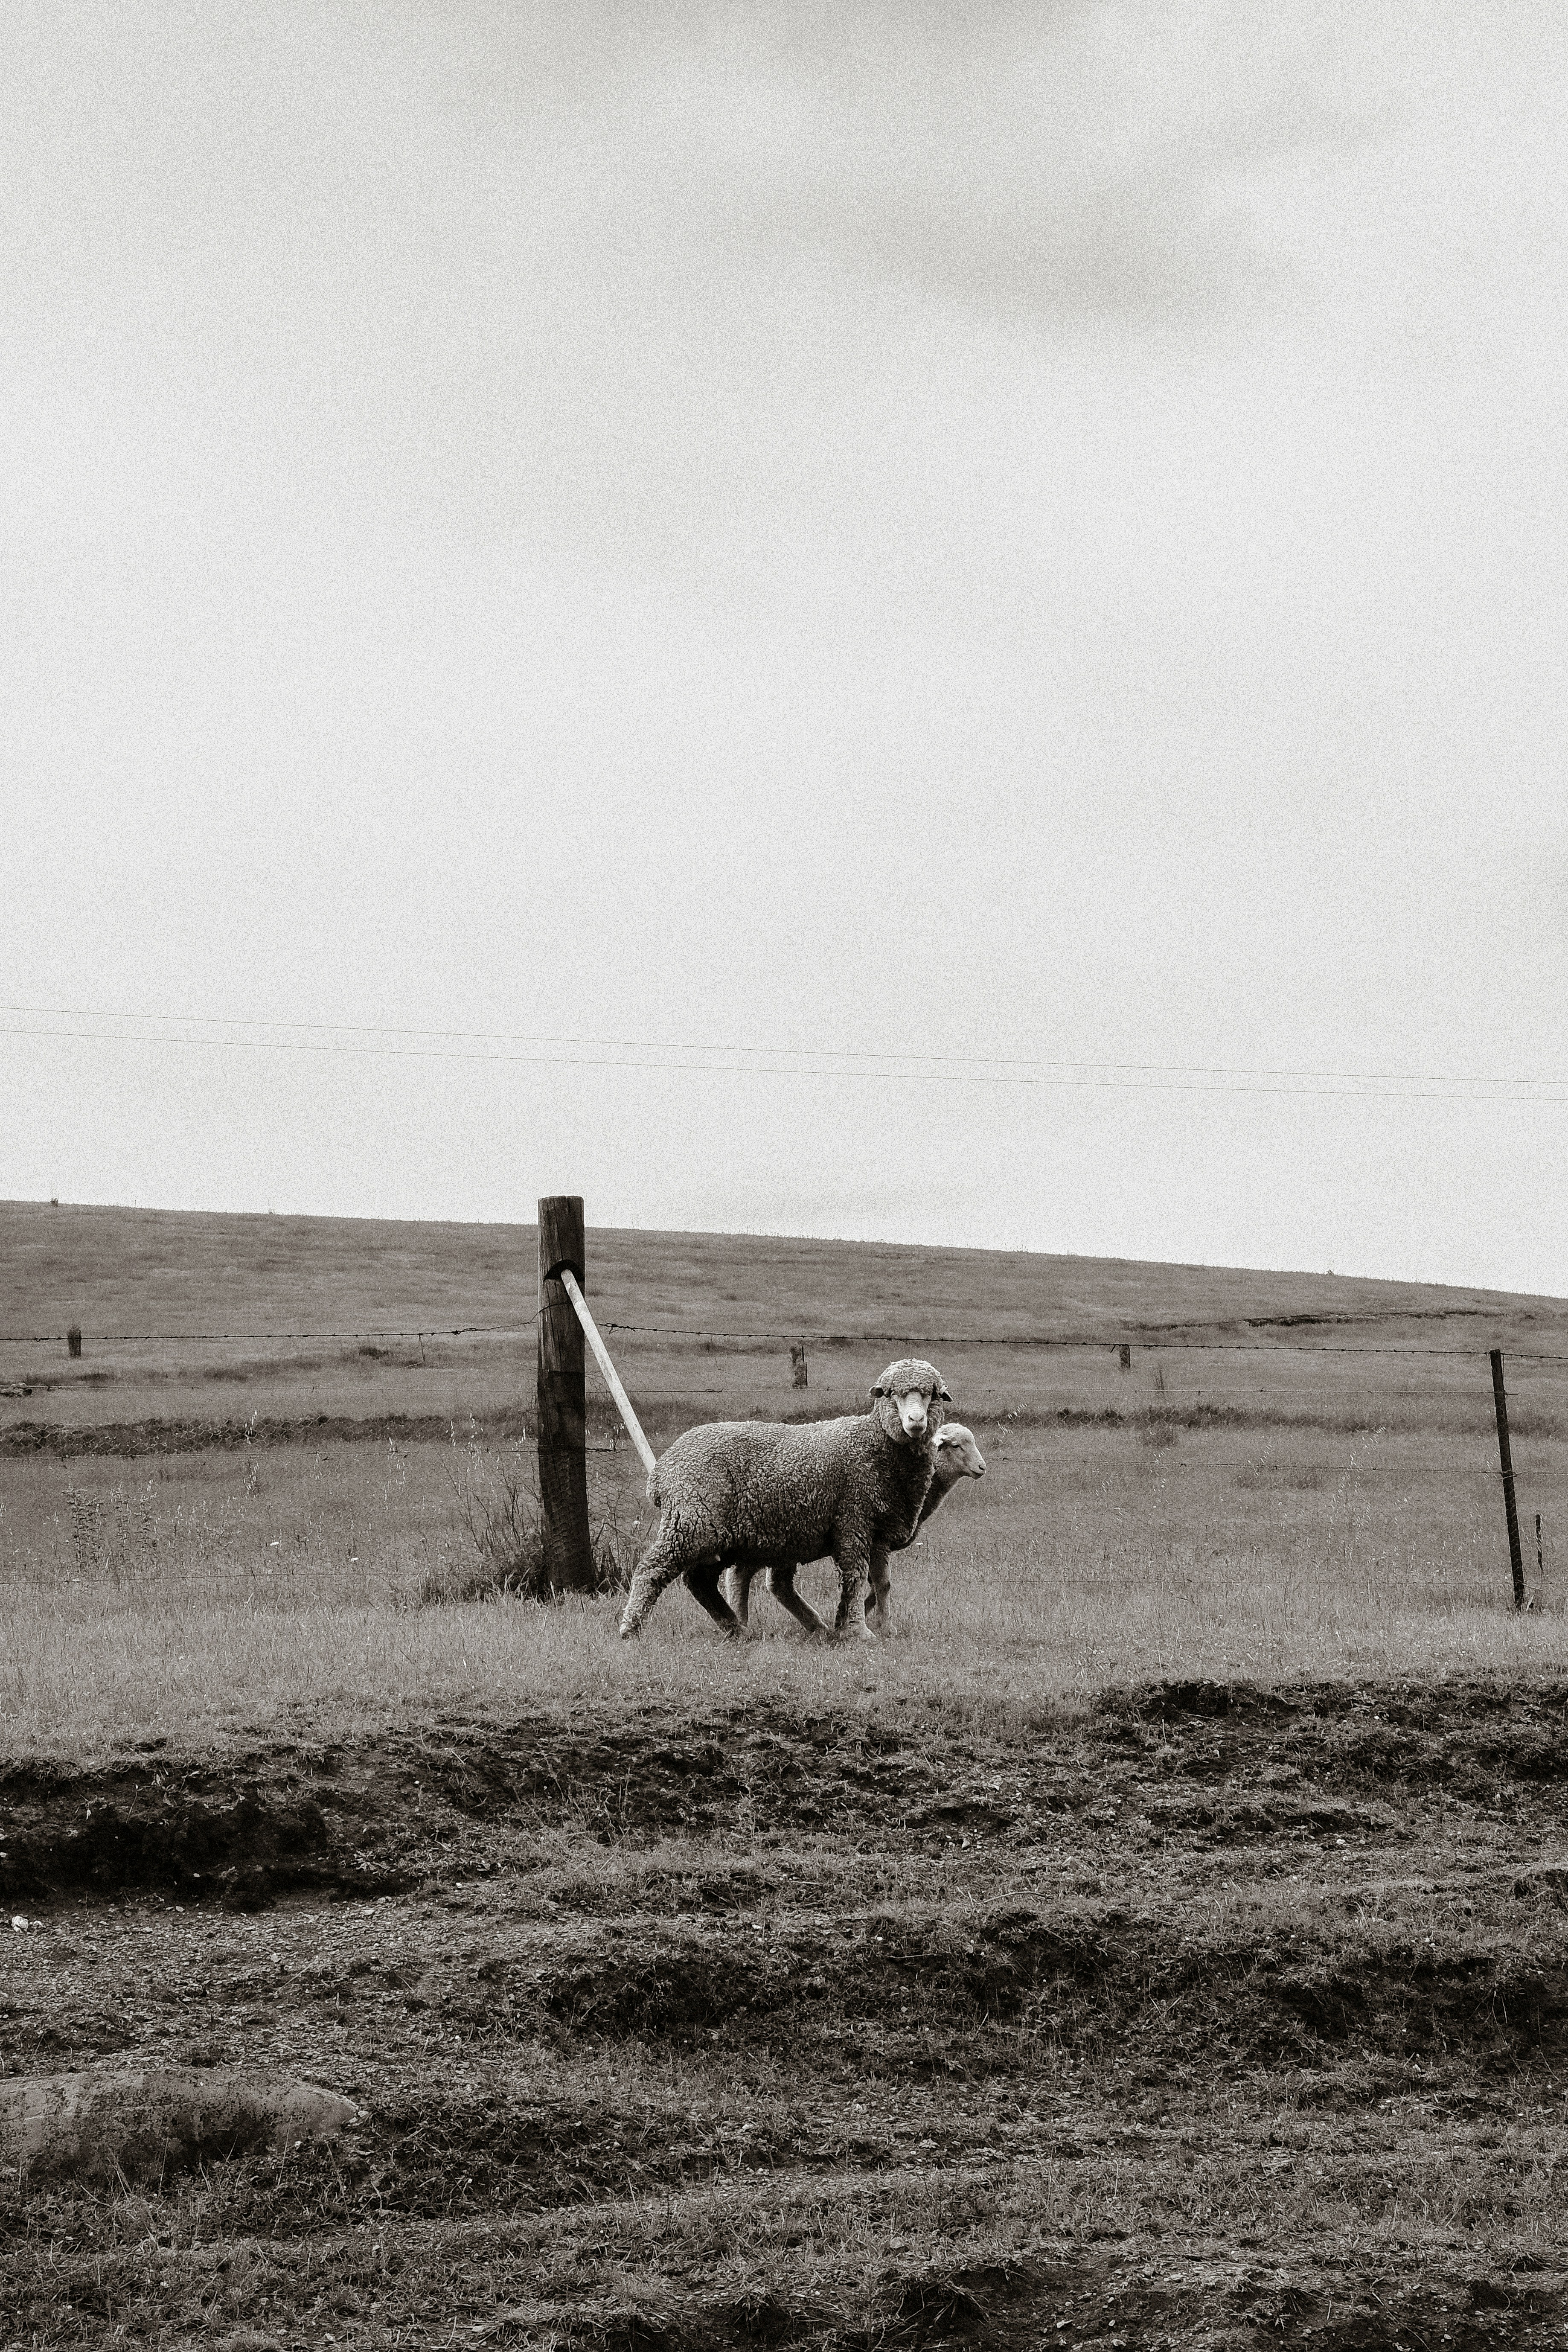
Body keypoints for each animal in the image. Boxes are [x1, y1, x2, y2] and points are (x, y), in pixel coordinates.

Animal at [616, 1358, 950, 1642]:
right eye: (892, 1394)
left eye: (930, 1394)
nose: (916, 1421)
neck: (875, 1444)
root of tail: (662, 1470)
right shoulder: (853, 1520)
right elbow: (855, 1577)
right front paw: (859, 1632)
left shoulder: (878, 1530)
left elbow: (881, 1582)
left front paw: (874, 1627)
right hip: (692, 1521)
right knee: (651, 1570)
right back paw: (631, 1630)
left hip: (719, 1533)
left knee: (700, 1581)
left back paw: (736, 1629)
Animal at [724, 1421, 986, 1637]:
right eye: (956, 1445)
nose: (982, 1467)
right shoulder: (872, 1539)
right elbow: (880, 1584)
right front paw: (873, 1622)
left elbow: (874, 1584)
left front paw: (848, 1618)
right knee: (747, 1577)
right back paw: (742, 1623)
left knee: (771, 1583)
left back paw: (809, 1626)